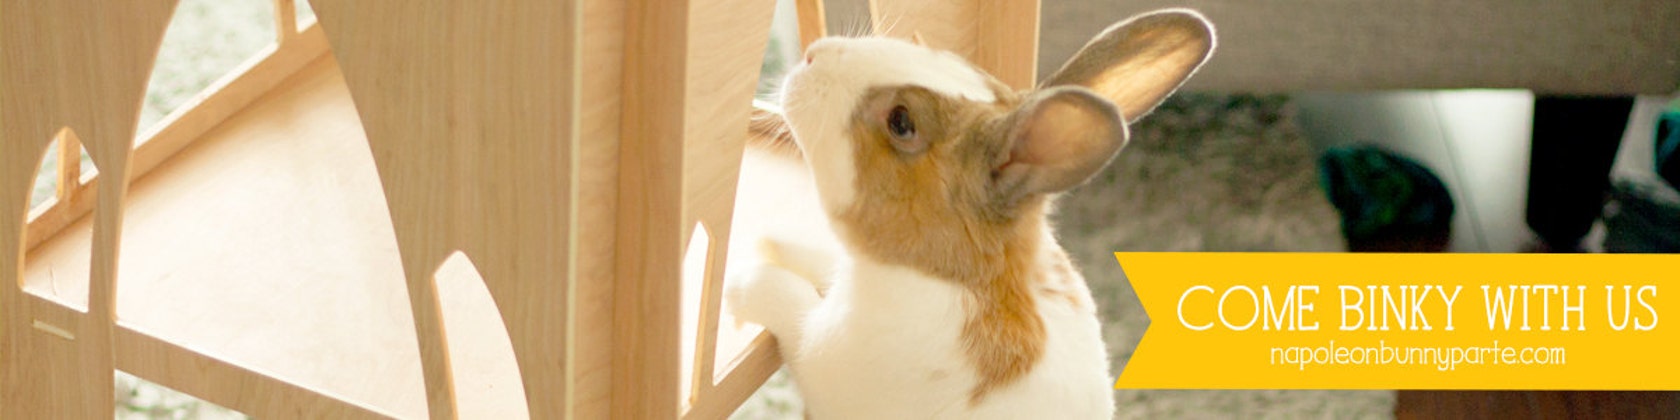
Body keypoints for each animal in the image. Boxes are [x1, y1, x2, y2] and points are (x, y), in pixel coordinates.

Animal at [725, 9, 1216, 419]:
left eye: (901, 121)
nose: (813, 55)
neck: (959, 276)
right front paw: (774, 243)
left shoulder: (820, 350)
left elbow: (787, 302)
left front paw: (742, 282)